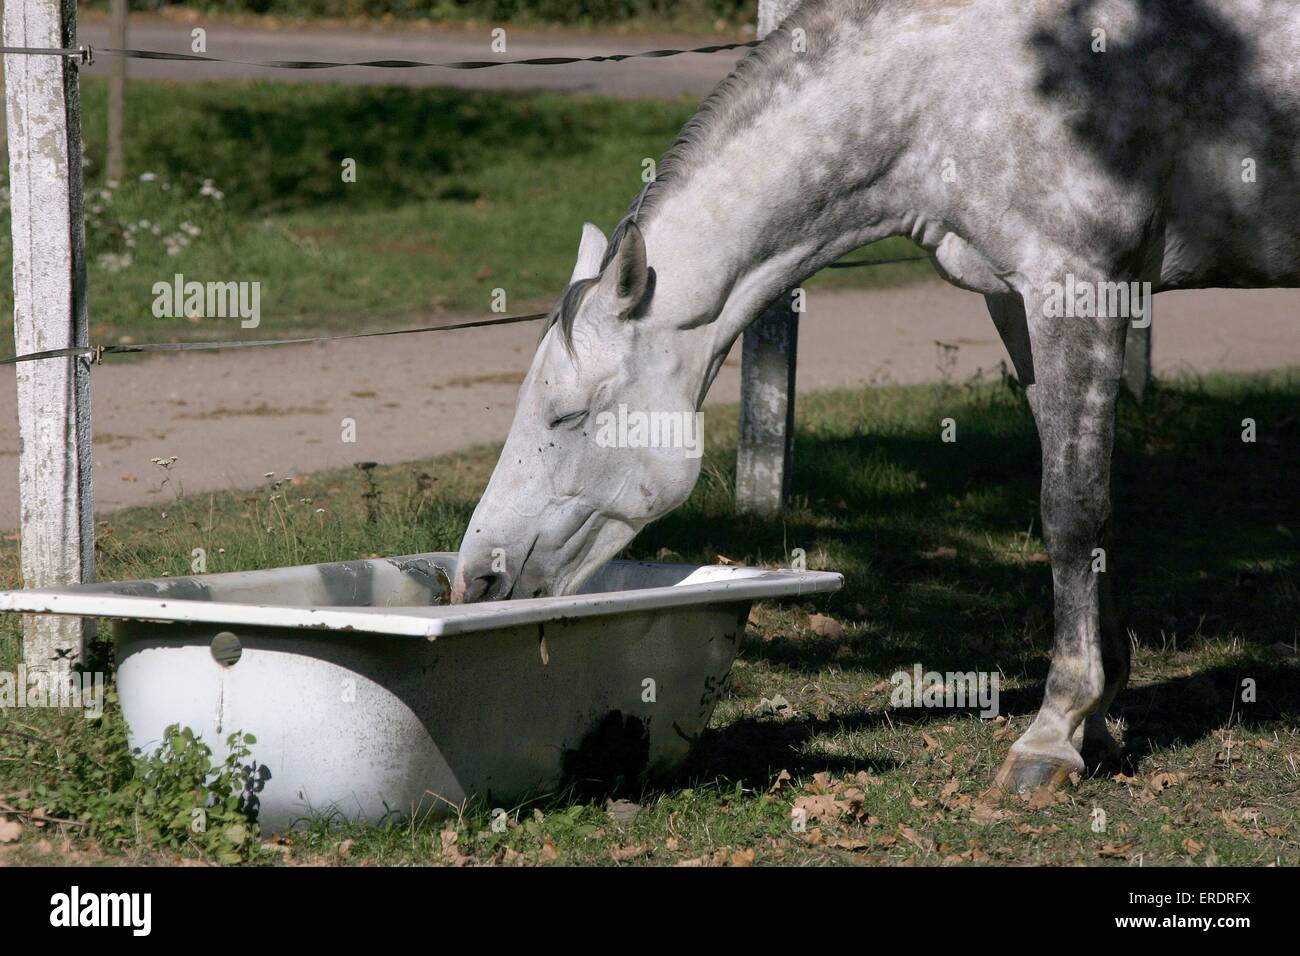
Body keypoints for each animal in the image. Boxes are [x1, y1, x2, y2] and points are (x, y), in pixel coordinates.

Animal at [450, 0, 1300, 792]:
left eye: (568, 413)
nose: (475, 580)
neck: (960, 83)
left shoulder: (1078, 287)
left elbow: (1069, 510)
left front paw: (1051, 735)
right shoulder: (1018, 303)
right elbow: (1090, 503)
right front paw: (1097, 721)